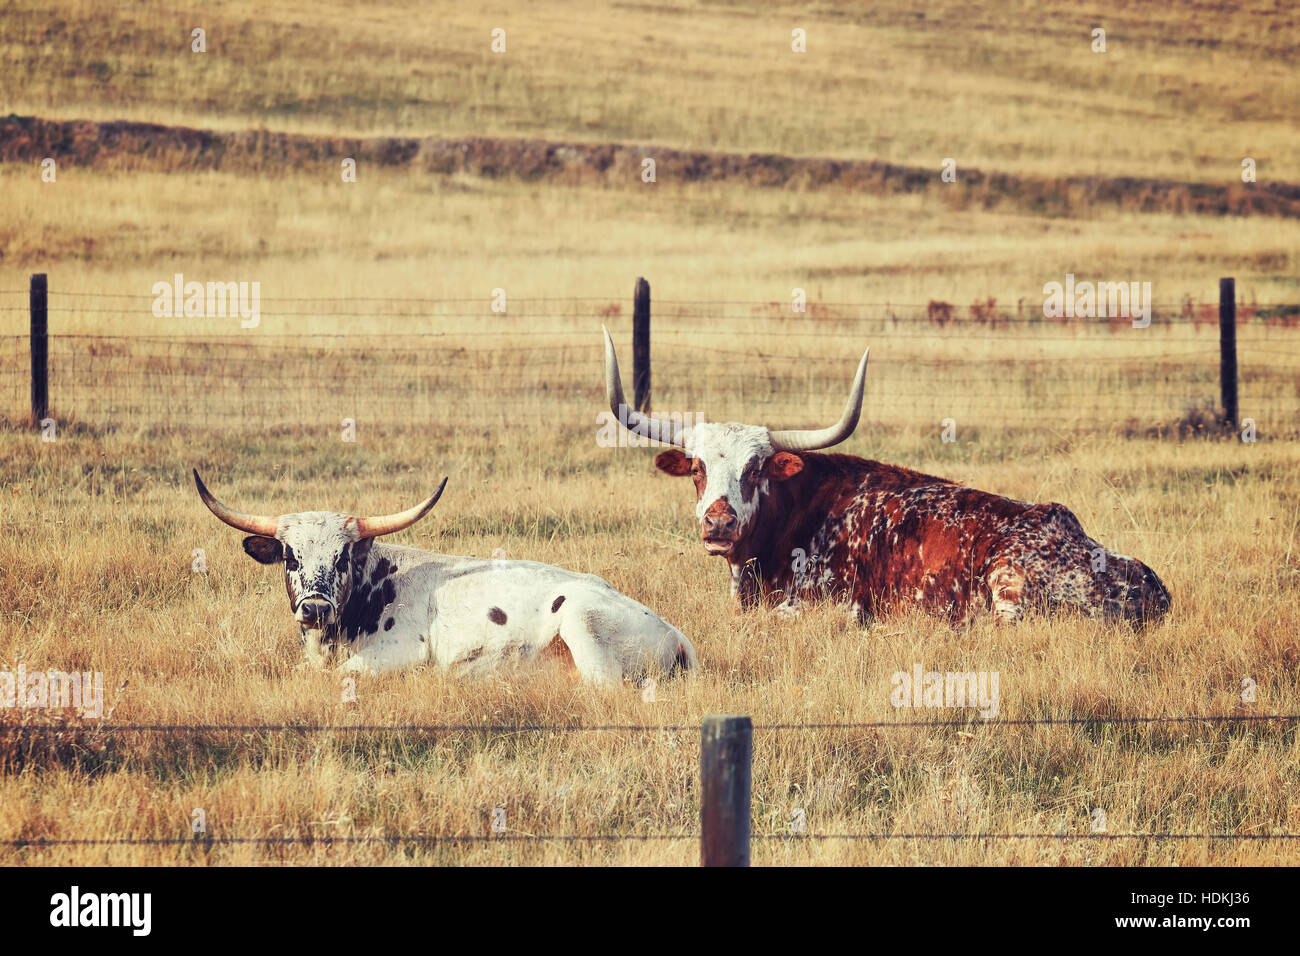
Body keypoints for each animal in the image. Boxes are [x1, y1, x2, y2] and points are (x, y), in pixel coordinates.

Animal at [193, 470, 697, 681]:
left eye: (341, 557)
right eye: (290, 557)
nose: (315, 608)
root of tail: (675, 633)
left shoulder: (398, 654)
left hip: (582, 624)